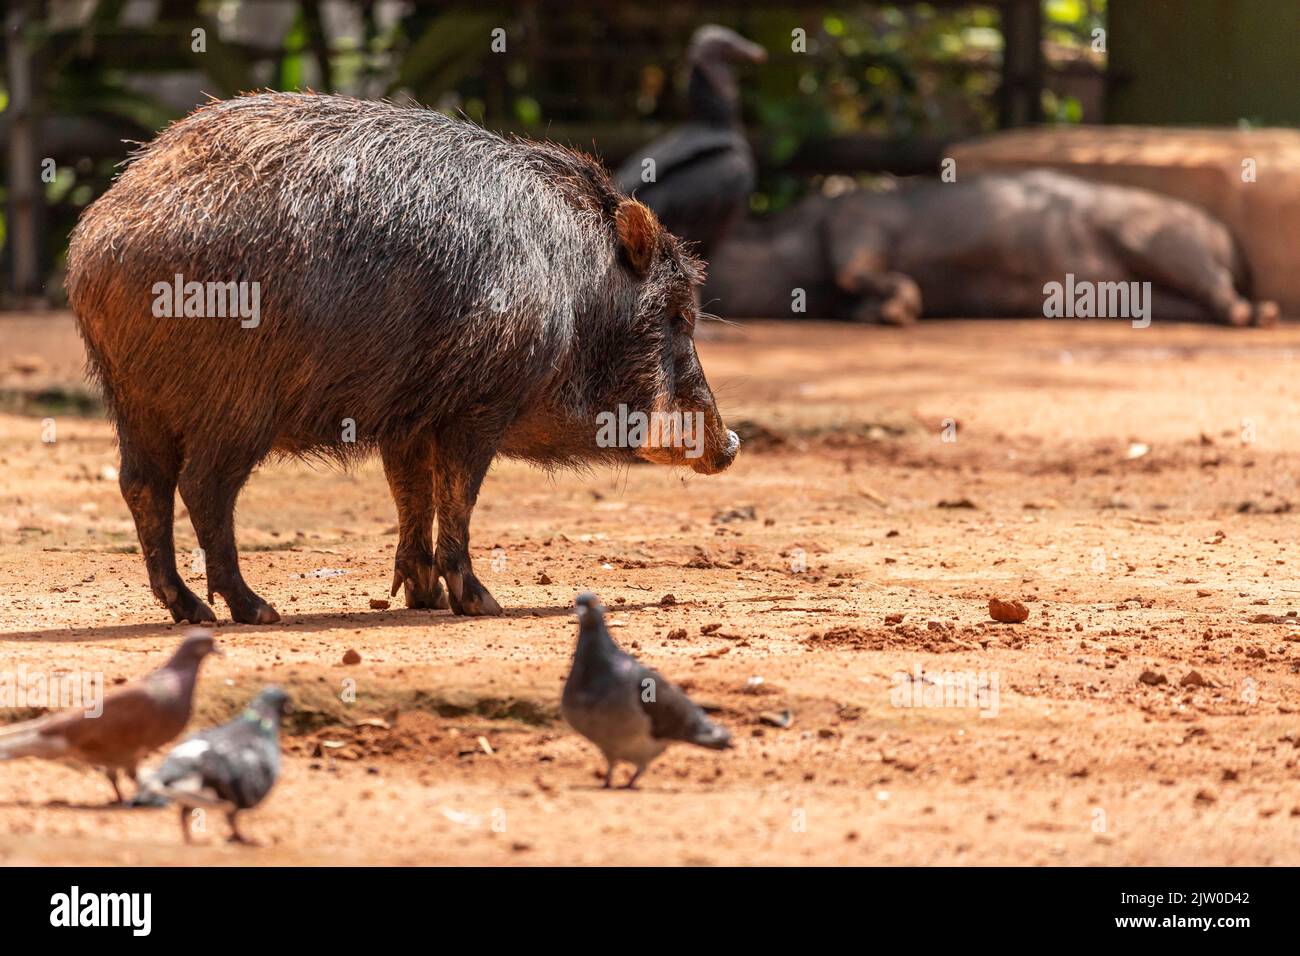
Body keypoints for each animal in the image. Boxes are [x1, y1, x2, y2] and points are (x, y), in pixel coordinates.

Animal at [66, 92, 739, 624]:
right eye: (680, 314)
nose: (730, 444)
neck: (576, 295)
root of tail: (99, 241)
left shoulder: (406, 417)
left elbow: (411, 493)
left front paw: (424, 598)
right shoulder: (478, 402)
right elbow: (457, 494)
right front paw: (480, 604)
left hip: (133, 400)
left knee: (141, 485)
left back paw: (192, 611)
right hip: (233, 404)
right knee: (202, 488)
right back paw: (257, 611)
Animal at [707, 170, 1279, 327]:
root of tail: (1226, 235)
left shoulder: (856, 220)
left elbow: (857, 267)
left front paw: (901, 308)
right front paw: (886, 311)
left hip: (1162, 237)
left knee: (1218, 289)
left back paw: (1261, 314)